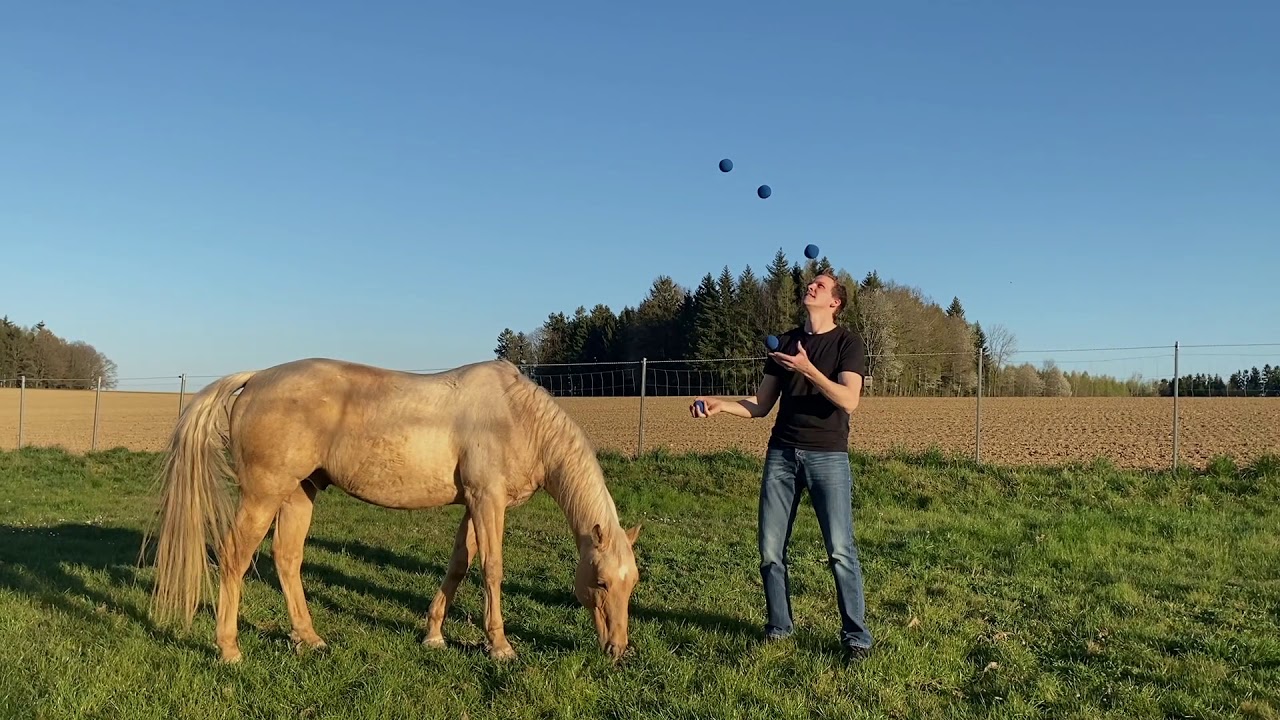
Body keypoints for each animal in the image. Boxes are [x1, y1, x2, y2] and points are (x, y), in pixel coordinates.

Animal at [143, 357, 642, 663]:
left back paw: (309, 638)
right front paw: (499, 645)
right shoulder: (488, 501)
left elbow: (460, 565)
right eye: (600, 582)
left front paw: (434, 634)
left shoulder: (474, 504)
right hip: (262, 497)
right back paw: (229, 649)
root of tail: (257, 377)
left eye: (631, 584)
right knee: (234, 558)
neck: (517, 416)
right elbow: (492, 569)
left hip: (299, 494)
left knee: (287, 559)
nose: (618, 649)